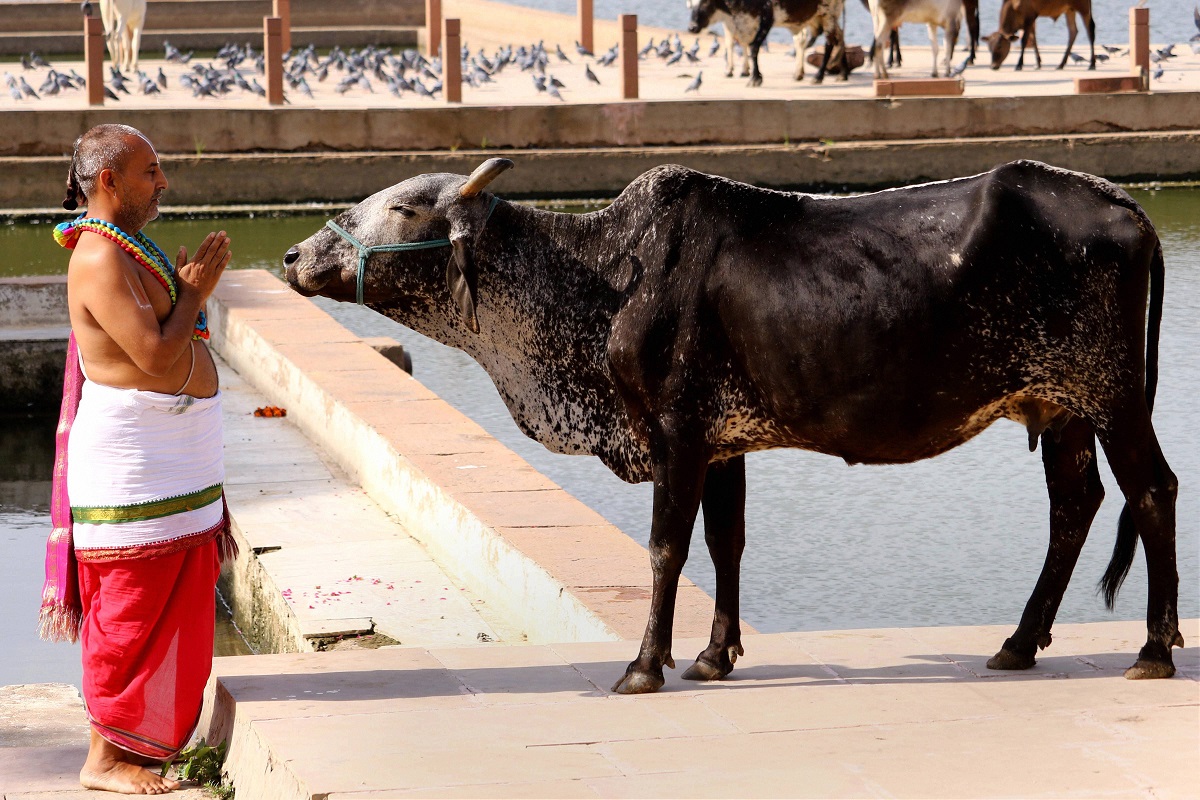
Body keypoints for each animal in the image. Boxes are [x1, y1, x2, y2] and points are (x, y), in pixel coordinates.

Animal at [285, 158, 1182, 695]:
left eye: (404, 207)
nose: (293, 257)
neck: (603, 276)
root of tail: (1121, 202)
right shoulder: (723, 445)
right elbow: (726, 544)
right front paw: (714, 655)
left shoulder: (676, 435)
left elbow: (666, 549)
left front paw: (645, 665)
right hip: (1063, 409)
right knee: (1075, 507)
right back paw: (1020, 642)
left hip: (1111, 397)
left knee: (1153, 493)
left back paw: (1153, 648)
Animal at [686, 0, 850, 85]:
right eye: (691, 4)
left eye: (705, 2)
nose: (692, 27)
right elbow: (744, 45)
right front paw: (752, 74)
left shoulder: (766, 17)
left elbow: (754, 48)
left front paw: (755, 78)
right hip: (818, 17)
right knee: (840, 37)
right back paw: (843, 73)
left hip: (828, 14)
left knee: (829, 43)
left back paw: (818, 76)